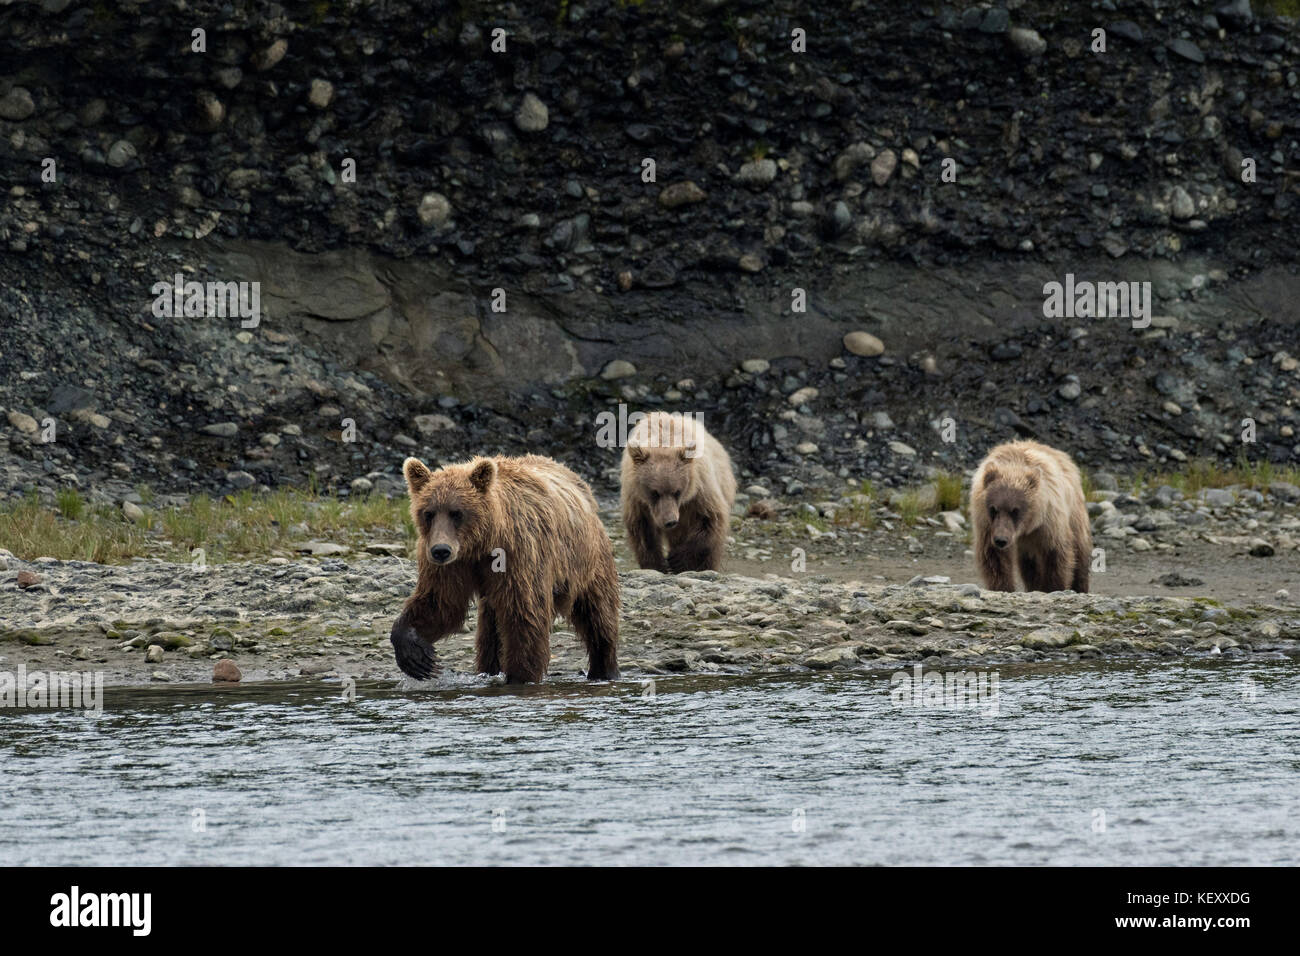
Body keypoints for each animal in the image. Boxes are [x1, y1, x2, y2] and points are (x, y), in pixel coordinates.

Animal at [389, 454, 620, 684]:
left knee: (598, 615)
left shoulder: (518, 556)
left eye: (457, 513)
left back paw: (604, 669)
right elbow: (440, 603)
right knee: (490, 633)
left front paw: (519, 677)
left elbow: (524, 615)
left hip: (587, 562)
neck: (481, 543)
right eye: (429, 513)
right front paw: (416, 656)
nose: (440, 551)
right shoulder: (451, 565)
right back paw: (489, 668)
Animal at [620, 411, 736, 573]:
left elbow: (709, 518)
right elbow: (642, 529)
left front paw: (678, 559)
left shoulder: (700, 489)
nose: (670, 521)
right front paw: (656, 564)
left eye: (677, 491)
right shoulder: (636, 497)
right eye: (654, 492)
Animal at [970, 440, 1092, 593]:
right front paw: (1003, 587)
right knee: (1029, 565)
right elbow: (994, 558)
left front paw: (1053, 587)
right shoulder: (986, 523)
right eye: (994, 509)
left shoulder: (1049, 521)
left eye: (1015, 510)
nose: (1001, 540)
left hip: (1075, 511)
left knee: (1080, 550)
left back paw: (1080, 587)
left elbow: (1056, 554)